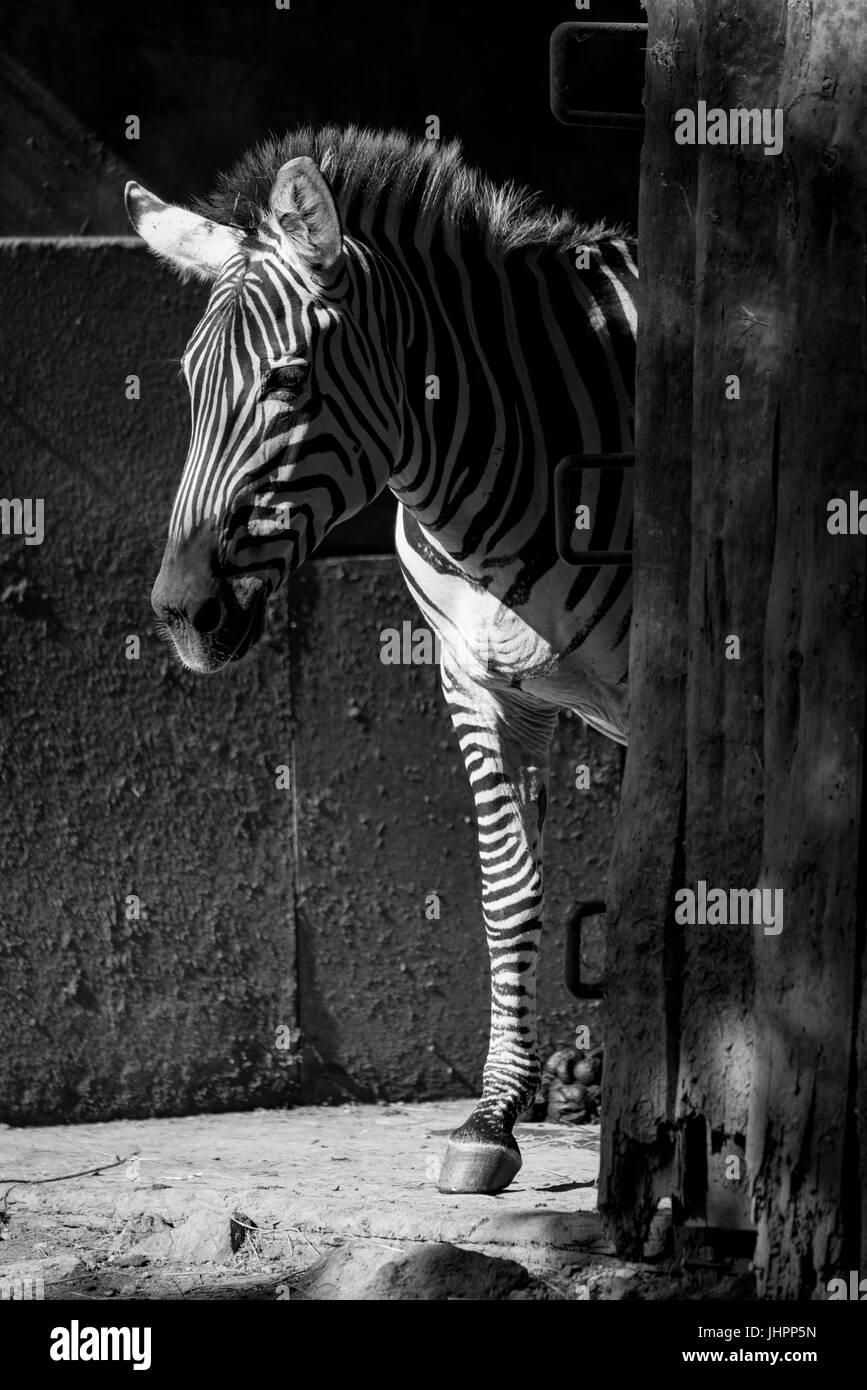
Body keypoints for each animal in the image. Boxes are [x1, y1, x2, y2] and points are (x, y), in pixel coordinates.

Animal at [125, 125, 636, 1195]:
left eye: (285, 382)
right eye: (187, 383)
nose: (179, 614)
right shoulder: (475, 681)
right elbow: (507, 891)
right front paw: (493, 1120)